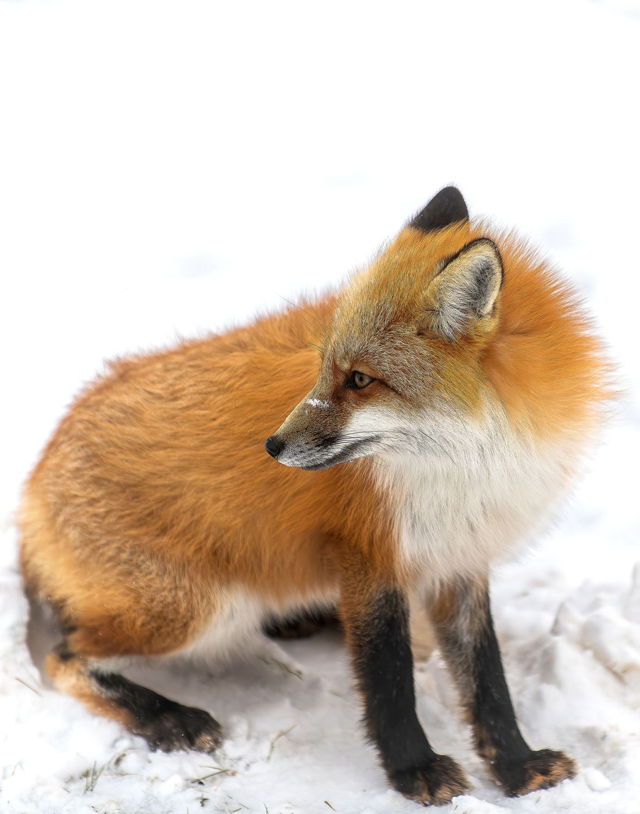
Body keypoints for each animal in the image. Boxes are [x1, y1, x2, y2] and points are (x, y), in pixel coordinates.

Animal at [19, 187, 610, 805]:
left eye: (360, 379)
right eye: (325, 367)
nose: (272, 446)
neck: (466, 469)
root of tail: (34, 483)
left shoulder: (459, 556)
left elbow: (486, 679)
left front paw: (518, 766)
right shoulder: (371, 554)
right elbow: (389, 679)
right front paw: (414, 771)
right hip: (195, 610)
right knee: (62, 657)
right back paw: (166, 716)